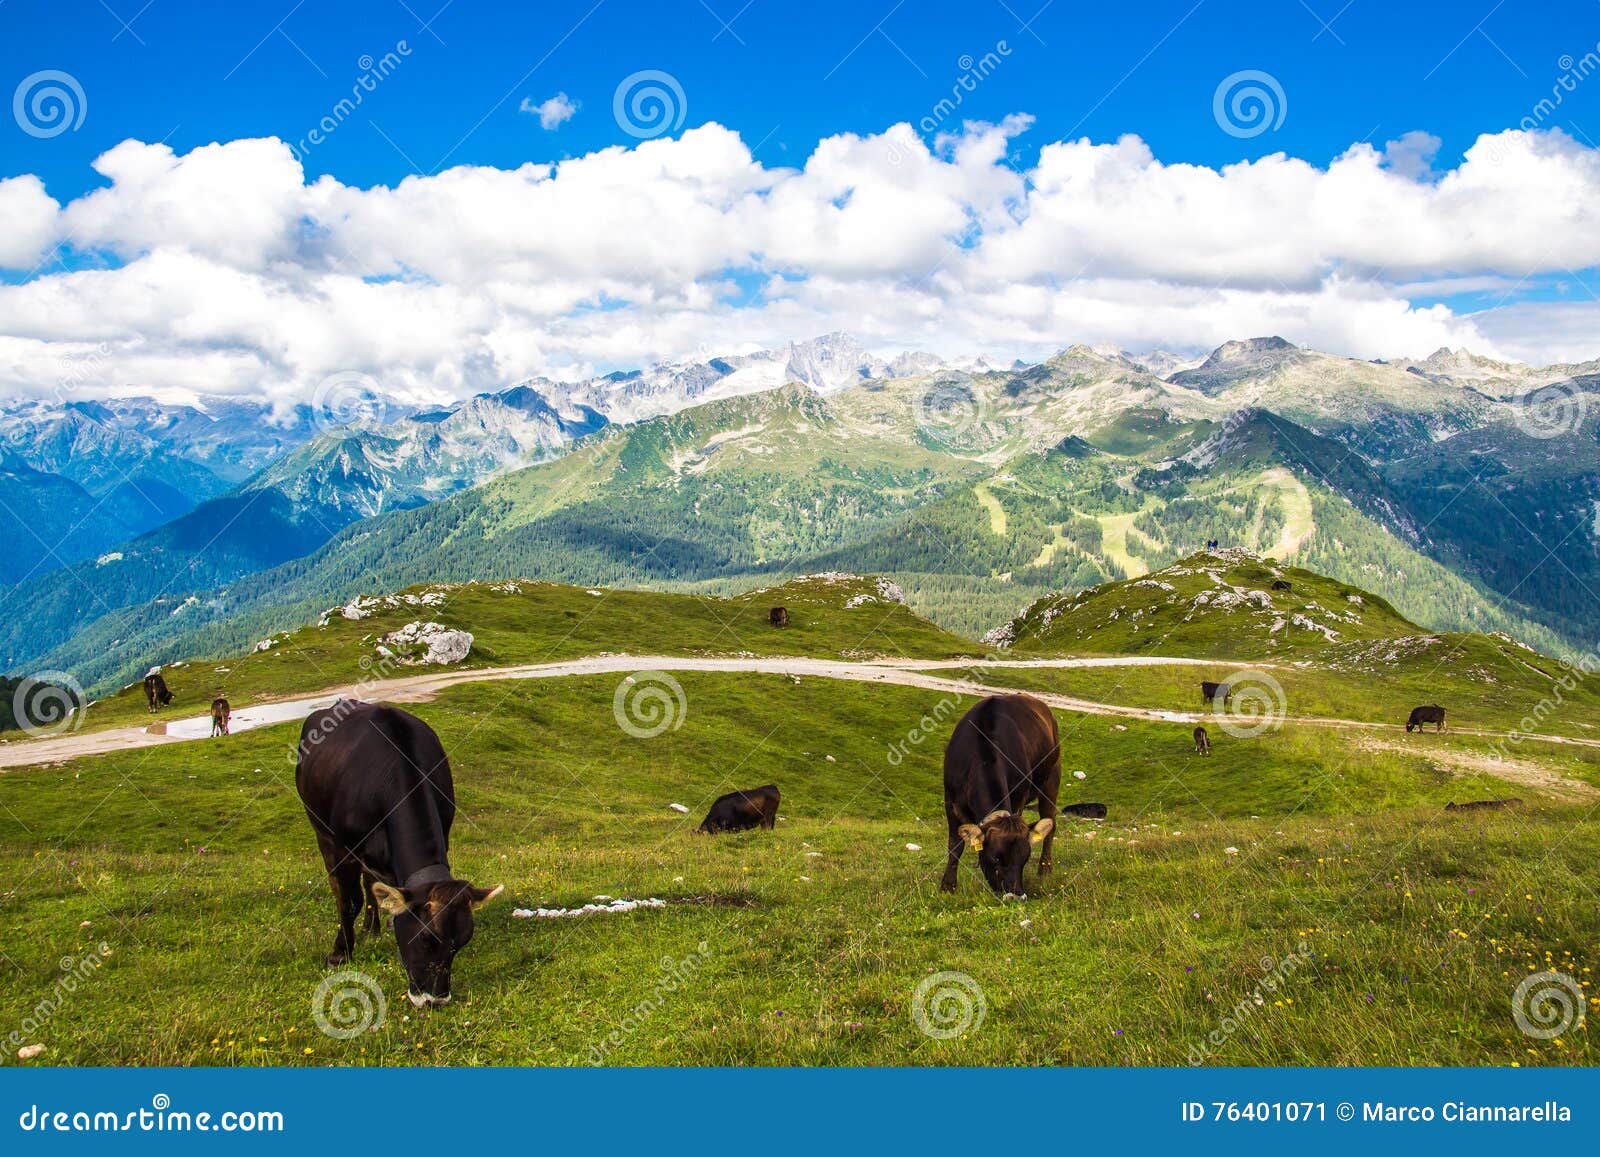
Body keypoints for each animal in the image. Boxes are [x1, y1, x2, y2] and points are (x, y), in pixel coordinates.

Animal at [295, 701, 502, 1007]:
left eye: (461, 943)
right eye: (426, 939)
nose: (435, 1000)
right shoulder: (344, 847)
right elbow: (349, 901)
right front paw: (340, 954)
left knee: (370, 881)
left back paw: (372, 927)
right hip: (321, 830)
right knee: (342, 888)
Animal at [939, 694, 1059, 898]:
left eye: (1025, 858)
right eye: (995, 857)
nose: (1016, 895)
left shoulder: (1018, 798)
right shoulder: (950, 800)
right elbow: (955, 845)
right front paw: (948, 886)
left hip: (1052, 778)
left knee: (1049, 825)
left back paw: (1045, 868)